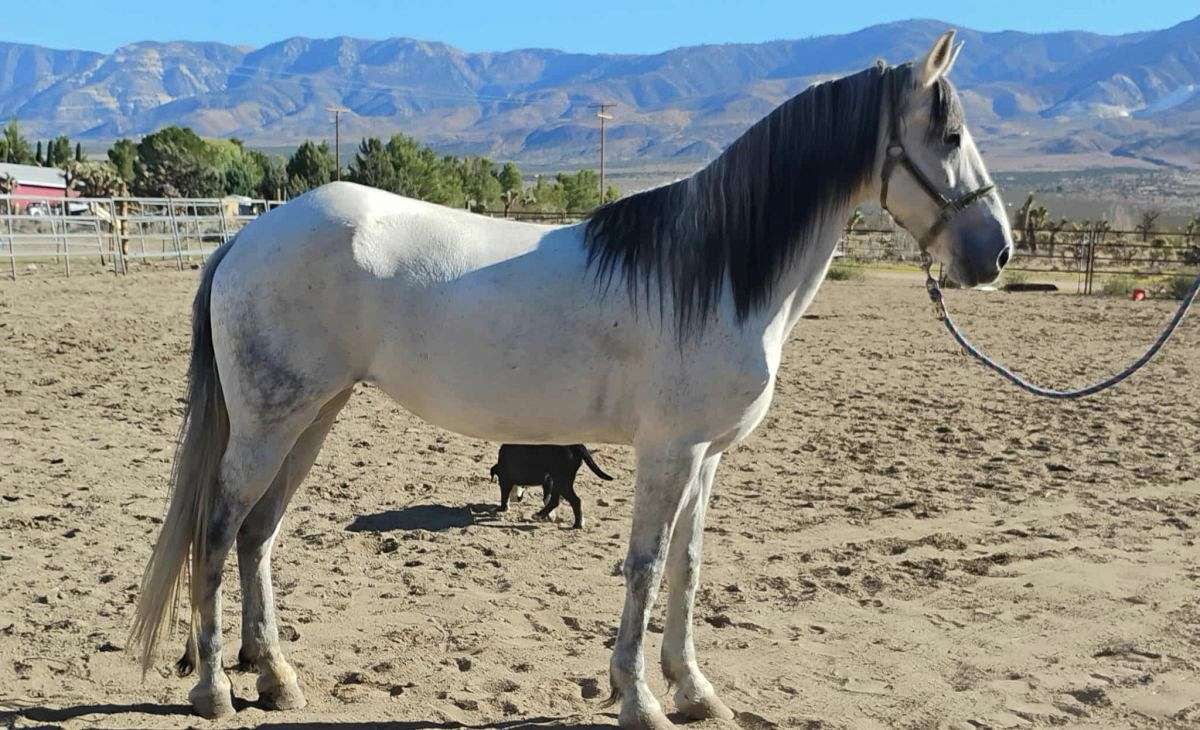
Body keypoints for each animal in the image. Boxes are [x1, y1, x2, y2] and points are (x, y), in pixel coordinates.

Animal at [131, 31, 1010, 729]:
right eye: (950, 132)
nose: (994, 252)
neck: (713, 273)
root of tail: (246, 239)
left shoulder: (707, 458)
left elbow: (689, 567)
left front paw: (695, 691)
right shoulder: (670, 453)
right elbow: (645, 567)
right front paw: (640, 700)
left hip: (313, 416)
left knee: (258, 534)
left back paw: (275, 678)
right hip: (270, 422)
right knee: (218, 529)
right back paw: (213, 690)